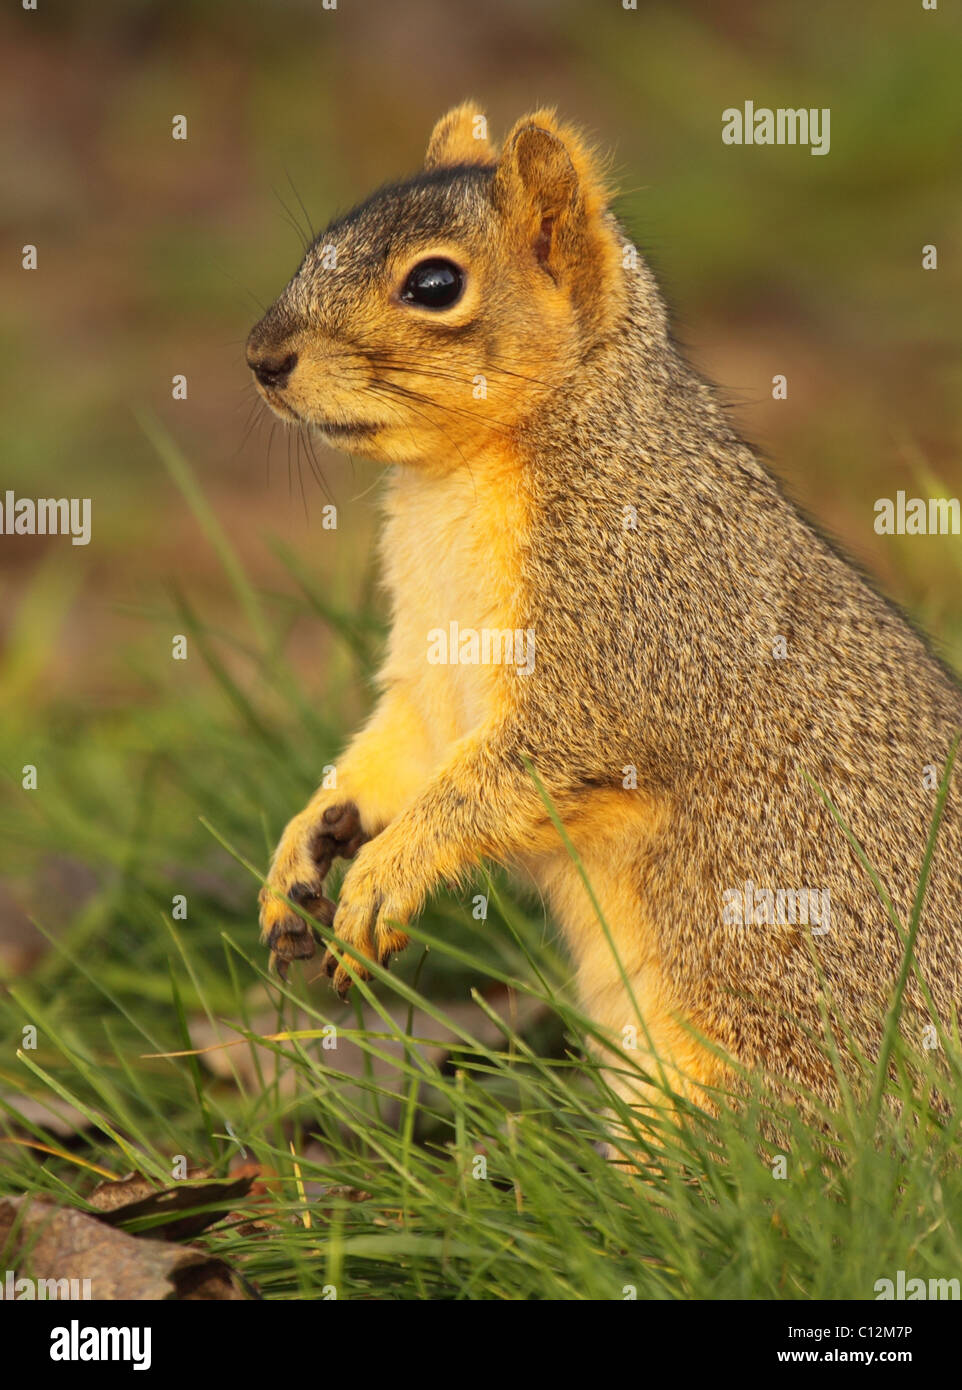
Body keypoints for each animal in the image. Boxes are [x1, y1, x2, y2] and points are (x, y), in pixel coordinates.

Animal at [247, 103, 962, 1122]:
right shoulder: (430, 670)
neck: (454, 479)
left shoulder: (631, 622)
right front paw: (309, 840)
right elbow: (403, 747)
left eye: (434, 283)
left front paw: (389, 872)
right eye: (316, 247)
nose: (261, 359)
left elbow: (527, 762)